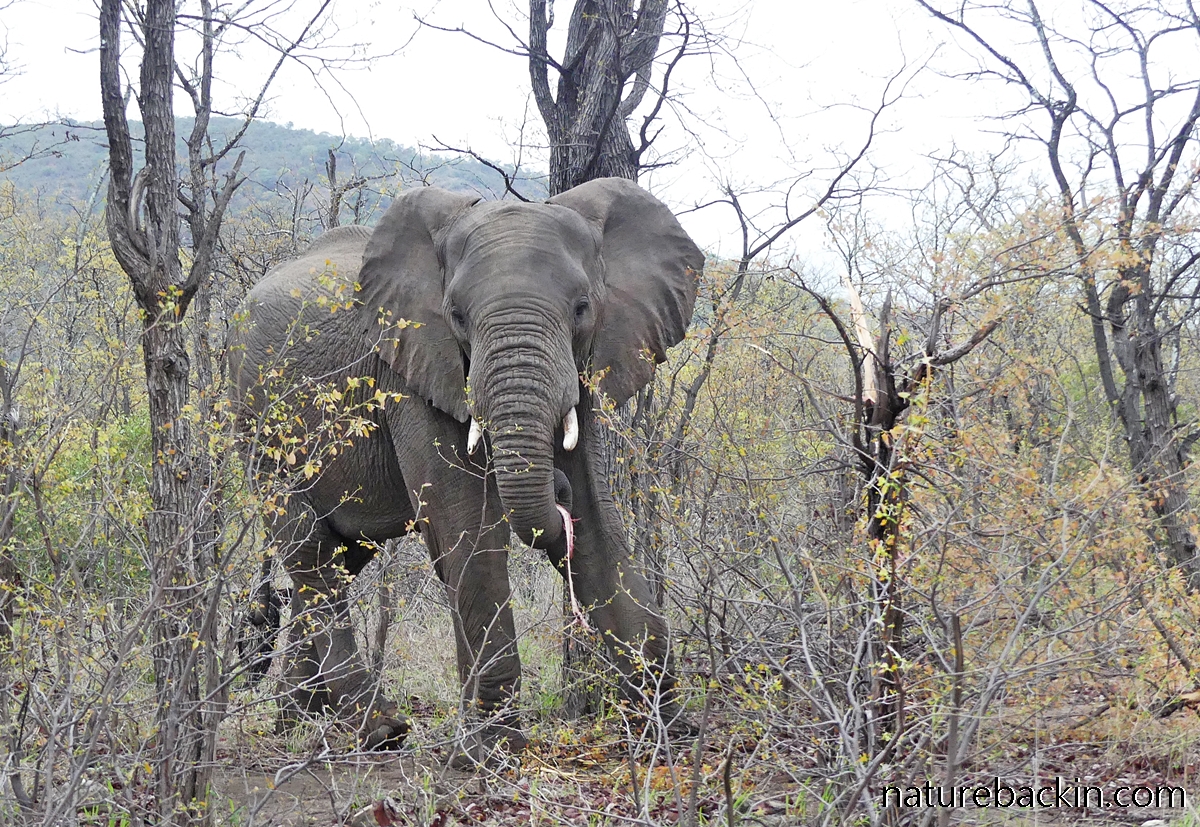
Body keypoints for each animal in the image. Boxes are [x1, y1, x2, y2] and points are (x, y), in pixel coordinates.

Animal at [228, 177, 704, 759]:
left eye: (582, 308)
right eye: (455, 315)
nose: (556, 489)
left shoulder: (590, 362)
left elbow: (597, 524)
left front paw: (670, 733)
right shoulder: (411, 368)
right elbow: (465, 524)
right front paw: (491, 751)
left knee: (338, 556)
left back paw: (301, 725)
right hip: (259, 425)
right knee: (310, 551)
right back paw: (378, 730)